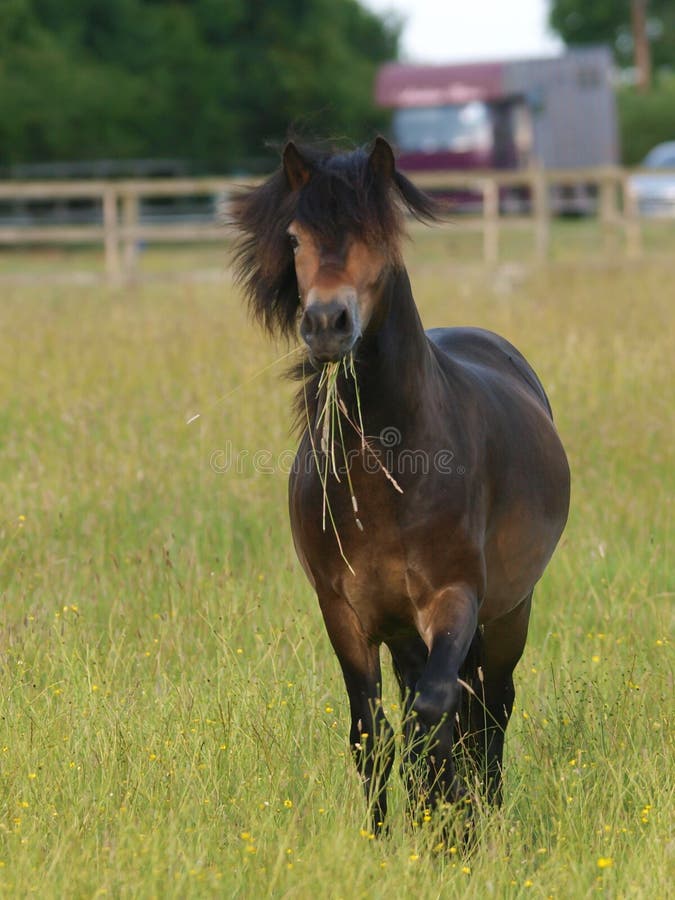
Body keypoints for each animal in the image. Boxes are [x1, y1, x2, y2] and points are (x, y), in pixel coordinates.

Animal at [231, 137, 570, 835]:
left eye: (378, 233)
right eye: (296, 237)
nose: (327, 322)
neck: (384, 478)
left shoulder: (455, 597)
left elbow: (434, 713)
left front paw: (449, 820)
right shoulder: (345, 613)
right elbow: (371, 735)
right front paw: (389, 834)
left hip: (510, 611)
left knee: (490, 706)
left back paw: (483, 807)